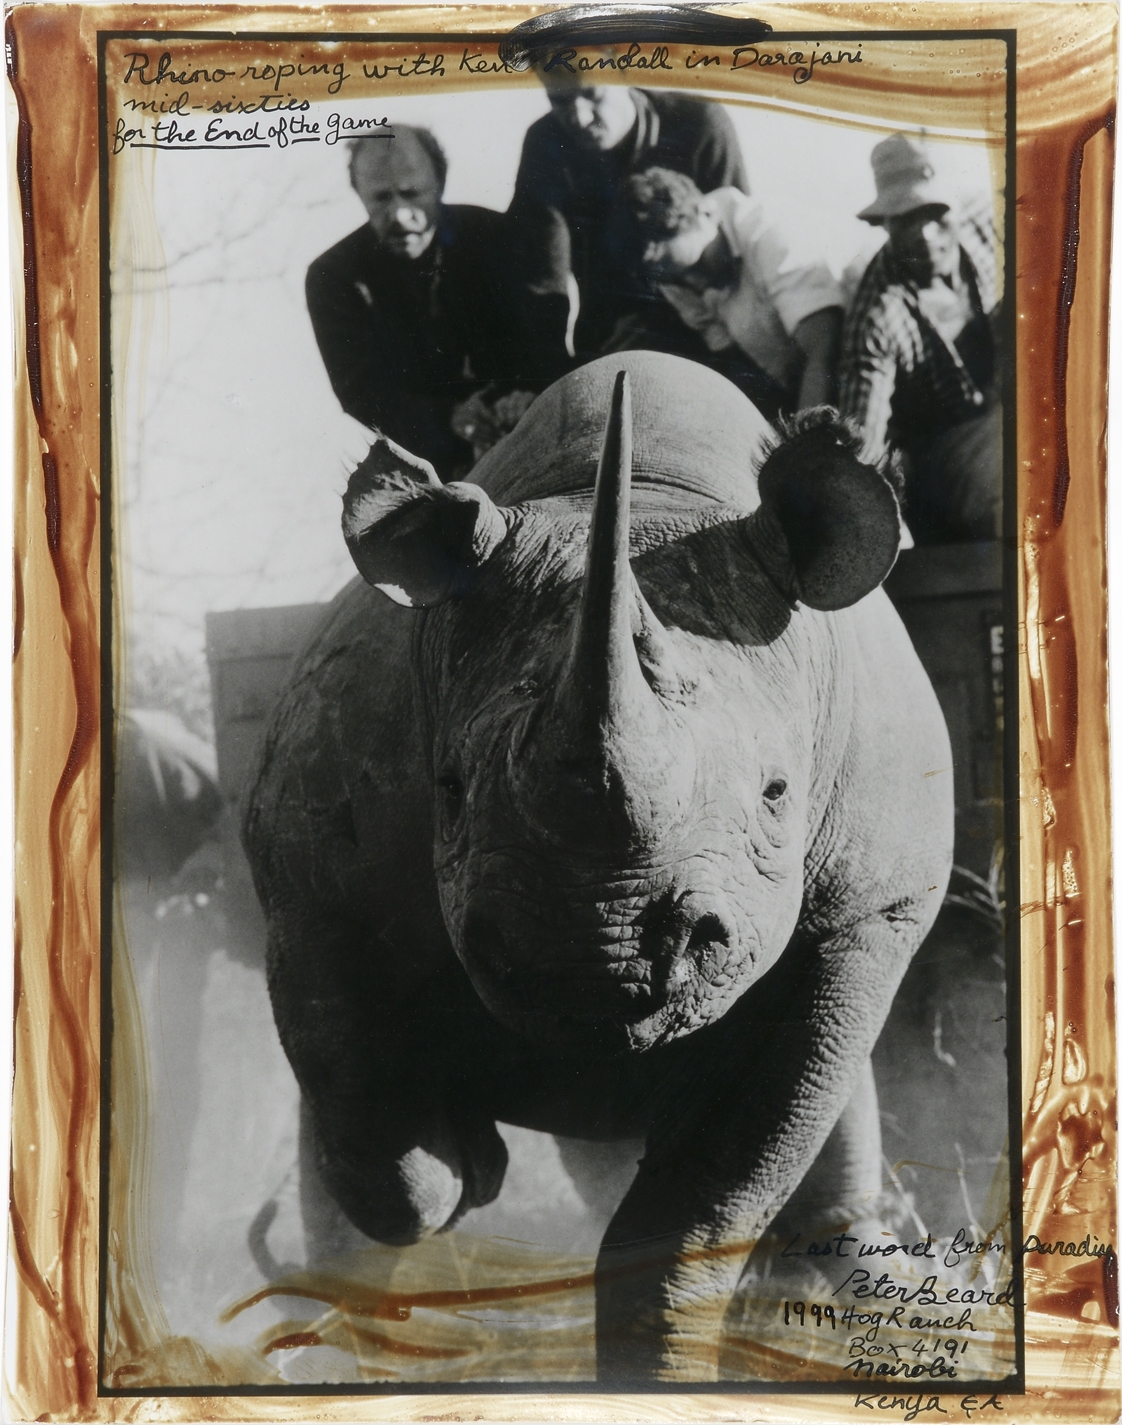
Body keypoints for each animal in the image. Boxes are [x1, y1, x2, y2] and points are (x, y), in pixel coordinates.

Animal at [244, 351, 953, 1382]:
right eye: (448, 789)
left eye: (778, 794)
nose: (596, 958)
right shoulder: (310, 881)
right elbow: (369, 1129)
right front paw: (468, 1164)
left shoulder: (866, 913)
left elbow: (697, 1210)